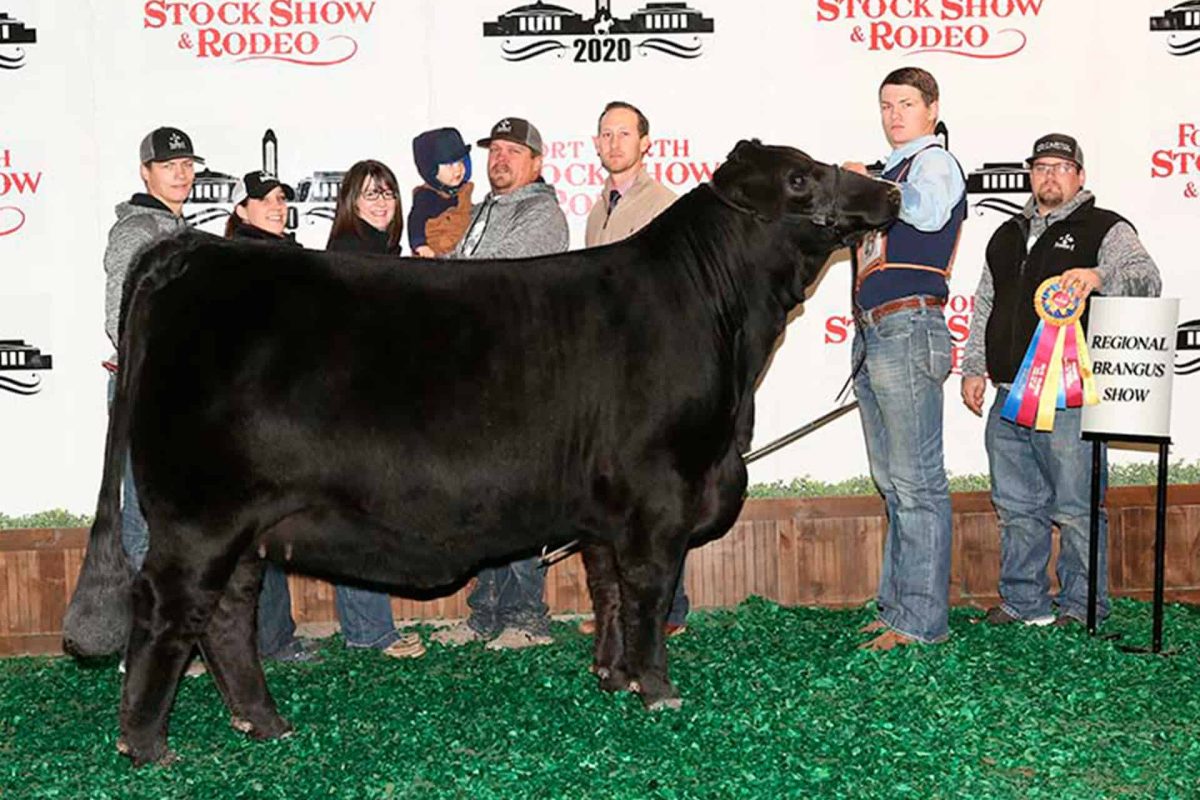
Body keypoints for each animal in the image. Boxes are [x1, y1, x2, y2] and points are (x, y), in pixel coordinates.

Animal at [63, 140, 900, 766]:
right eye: (800, 177)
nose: (887, 192)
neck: (720, 325)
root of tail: (190, 252)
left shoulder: (607, 509)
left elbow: (608, 590)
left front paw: (612, 676)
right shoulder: (659, 499)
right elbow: (650, 595)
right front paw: (658, 689)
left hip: (243, 525)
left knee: (228, 615)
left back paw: (263, 723)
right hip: (199, 515)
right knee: (168, 608)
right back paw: (147, 745)